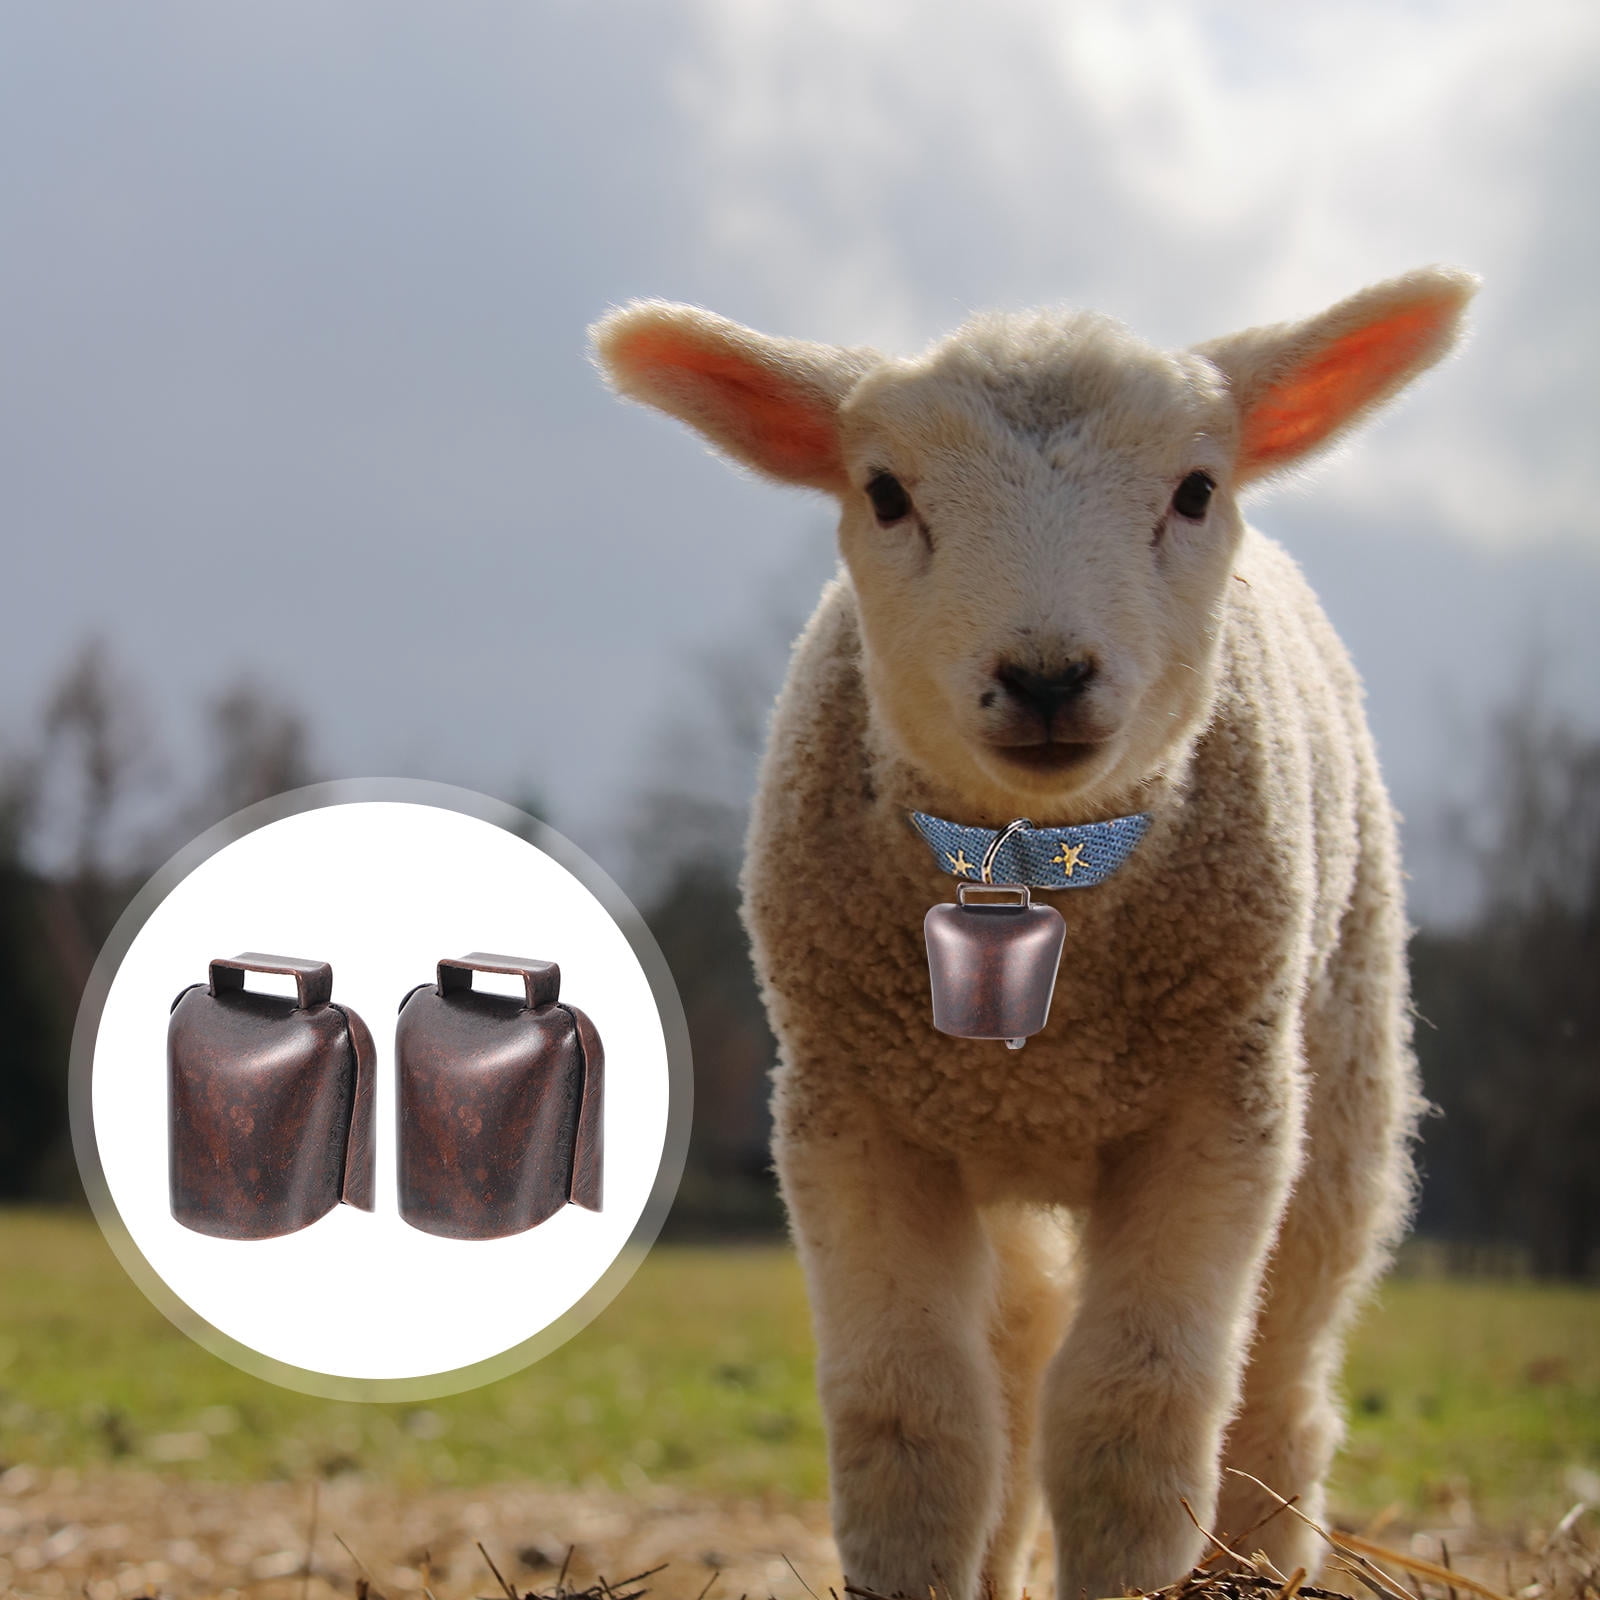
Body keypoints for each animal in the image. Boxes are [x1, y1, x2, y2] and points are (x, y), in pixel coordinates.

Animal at [591, 267, 1477, 1600]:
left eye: (1194, 489)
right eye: (885, 493)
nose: (1048, 675)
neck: (1030, 868)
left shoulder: (1216, 1110)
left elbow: (1131, 1413)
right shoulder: (852, 1114)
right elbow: (914, 1419)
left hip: (1339, 1086)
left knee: (1280, 1385)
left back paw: (1257, 1552)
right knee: (1010, 1374)